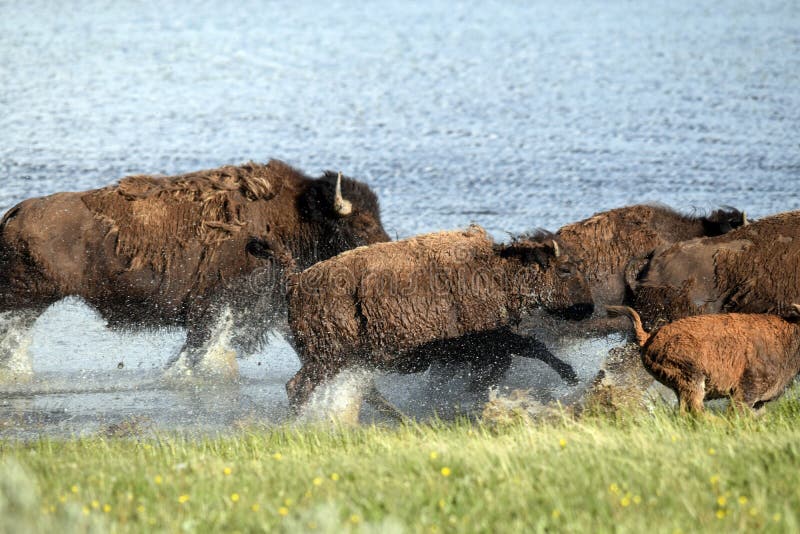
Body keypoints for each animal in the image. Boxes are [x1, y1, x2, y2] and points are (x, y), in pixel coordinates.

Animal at [0, 160, 389, 379]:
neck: (293, 213)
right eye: (362, 223)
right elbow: (197, 351)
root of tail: (16, 212)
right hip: (24, 299)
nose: (384, 247)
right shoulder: (215, 307)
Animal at [253, 225, 594, 413]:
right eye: (565, 268)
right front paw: (569, 375)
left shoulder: (486, 343)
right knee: (297, 387)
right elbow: (523, 352)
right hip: (326, 360)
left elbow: (524, 351)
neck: (495, 270)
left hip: (341, 360)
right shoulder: (486, 341)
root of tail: (295, 282)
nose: (588, 307)